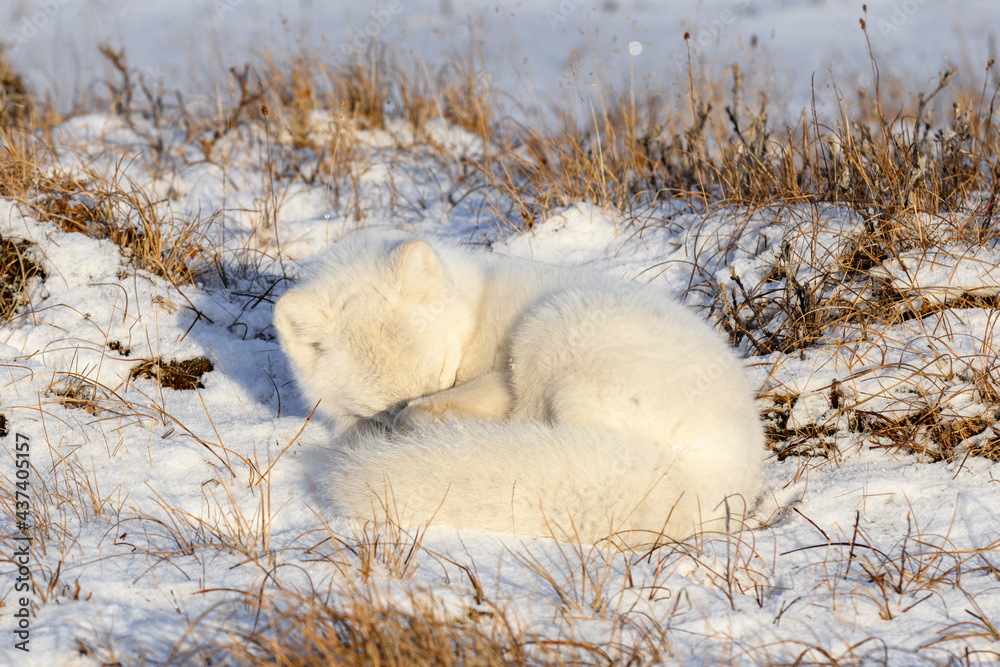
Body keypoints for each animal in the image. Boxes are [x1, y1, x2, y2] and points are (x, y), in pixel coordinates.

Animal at [273, 234, 764, 547]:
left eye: (445, 371)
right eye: (382, 405)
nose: (397, 423)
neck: (476, 308)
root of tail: (715, 475)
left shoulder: (498, 379)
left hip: (548, 329)